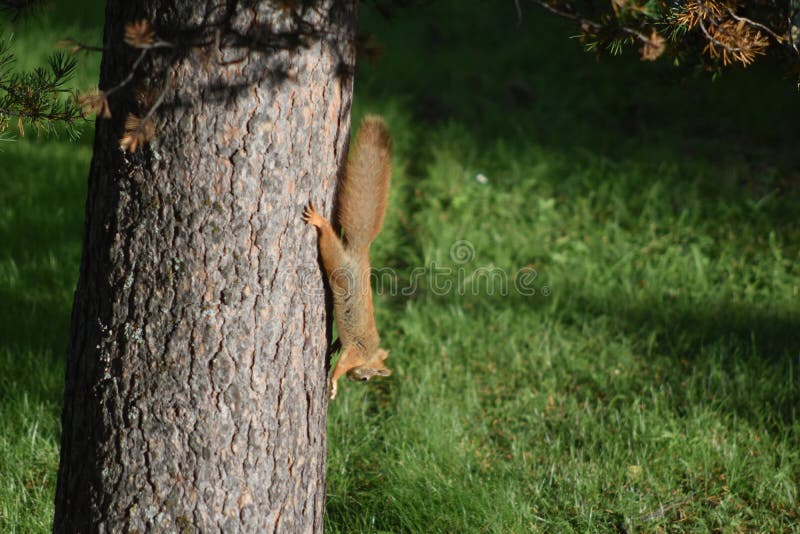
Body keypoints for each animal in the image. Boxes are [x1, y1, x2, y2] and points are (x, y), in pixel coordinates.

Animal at [303, 115, 393, 400]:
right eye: (366, 378)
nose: (358, 380)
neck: (369, 354)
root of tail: (359, 253)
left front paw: (332, 346)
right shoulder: (356, 351)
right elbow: (342, 364)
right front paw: (334, 382)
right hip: (338, 264)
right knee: (329, 244)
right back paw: (320, 221)